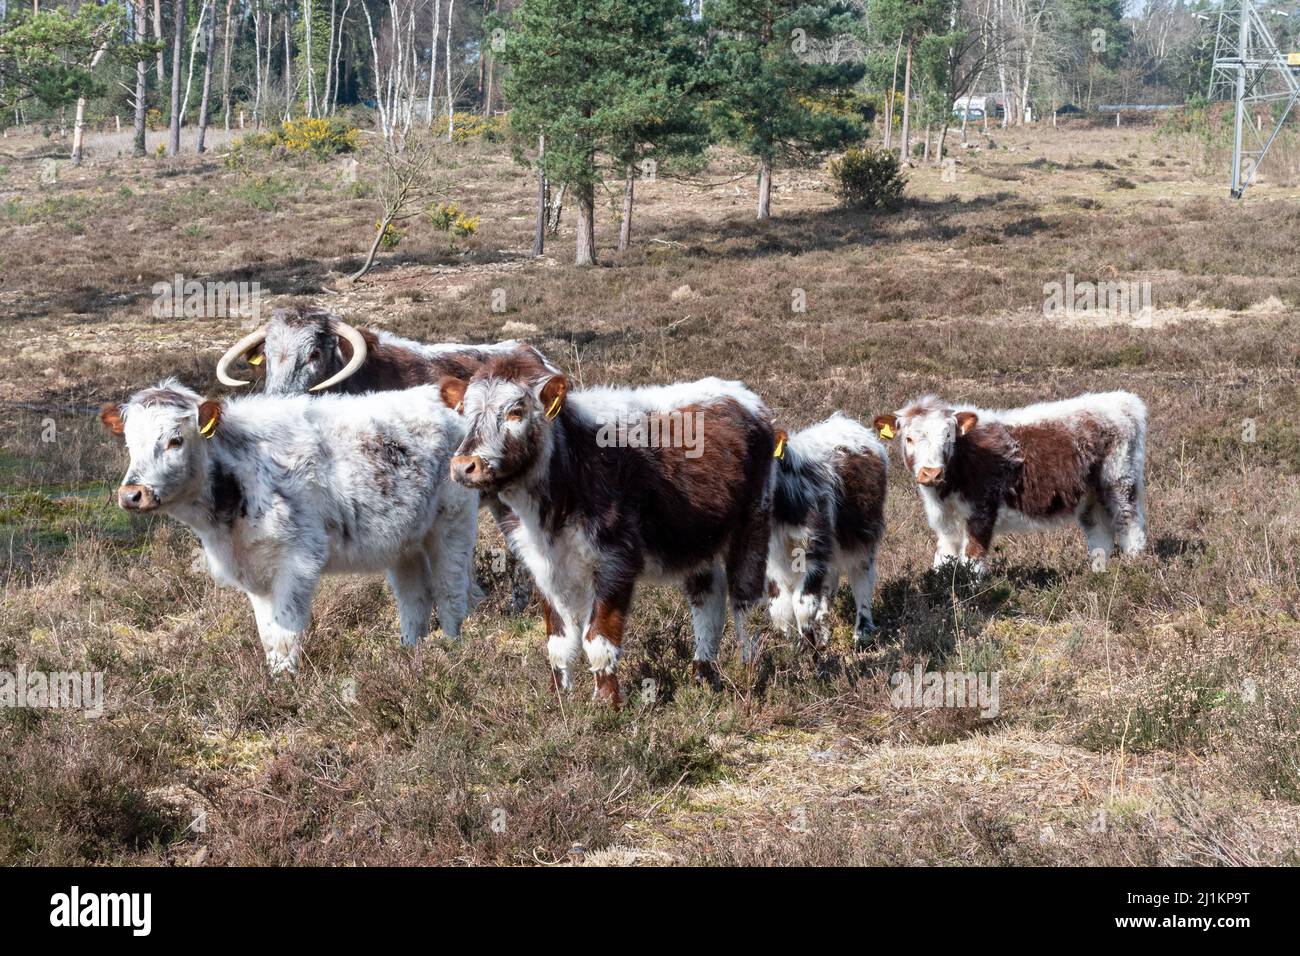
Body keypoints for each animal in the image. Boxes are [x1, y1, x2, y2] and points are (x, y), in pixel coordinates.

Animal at [100, 378, 478, 674]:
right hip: (404, 543)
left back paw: (453, 651)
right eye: (129, 443)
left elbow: (287, 632)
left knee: (450, 593)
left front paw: (286, 684)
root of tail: (439, 399)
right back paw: (409, 654)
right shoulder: (254, 572)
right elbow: (268, 634)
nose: (132, 494)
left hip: (452, 525)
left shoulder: (297, 562)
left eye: (175, 440)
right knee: (414, 598)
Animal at [440, 353, 777, 706]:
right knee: (707, 600)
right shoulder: (543, 565)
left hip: (753, 524)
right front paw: (558, 698)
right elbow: (558, 641)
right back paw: (703, 676)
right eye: (464, 410)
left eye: (515, 411)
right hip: (695, 541)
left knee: (746, 604)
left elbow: (597, 638)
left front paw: (606, 702)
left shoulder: (616, 559)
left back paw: (749, 674)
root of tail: (741, 395)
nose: (464, 466)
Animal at [768, 413, 887, 650]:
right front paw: (792, 647)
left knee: (862, 579)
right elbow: (780, 609)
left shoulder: (814, 548)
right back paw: (824, 629)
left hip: (863, 537)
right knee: (829, 585)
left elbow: (802, 605)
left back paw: (863, 632)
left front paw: (810, 649)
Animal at [872, 392, 1147, 571]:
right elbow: (943, 563)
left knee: (1130, 526)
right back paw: (1098, 573)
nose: (931, 472)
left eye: (948, 436)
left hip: (1120, 482)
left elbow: (972, 563)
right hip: (1090, 496)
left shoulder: (982, 514)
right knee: (1100, 533)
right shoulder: (945, 525)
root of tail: (1125, 401)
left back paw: (1134, 568)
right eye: (908, 438)